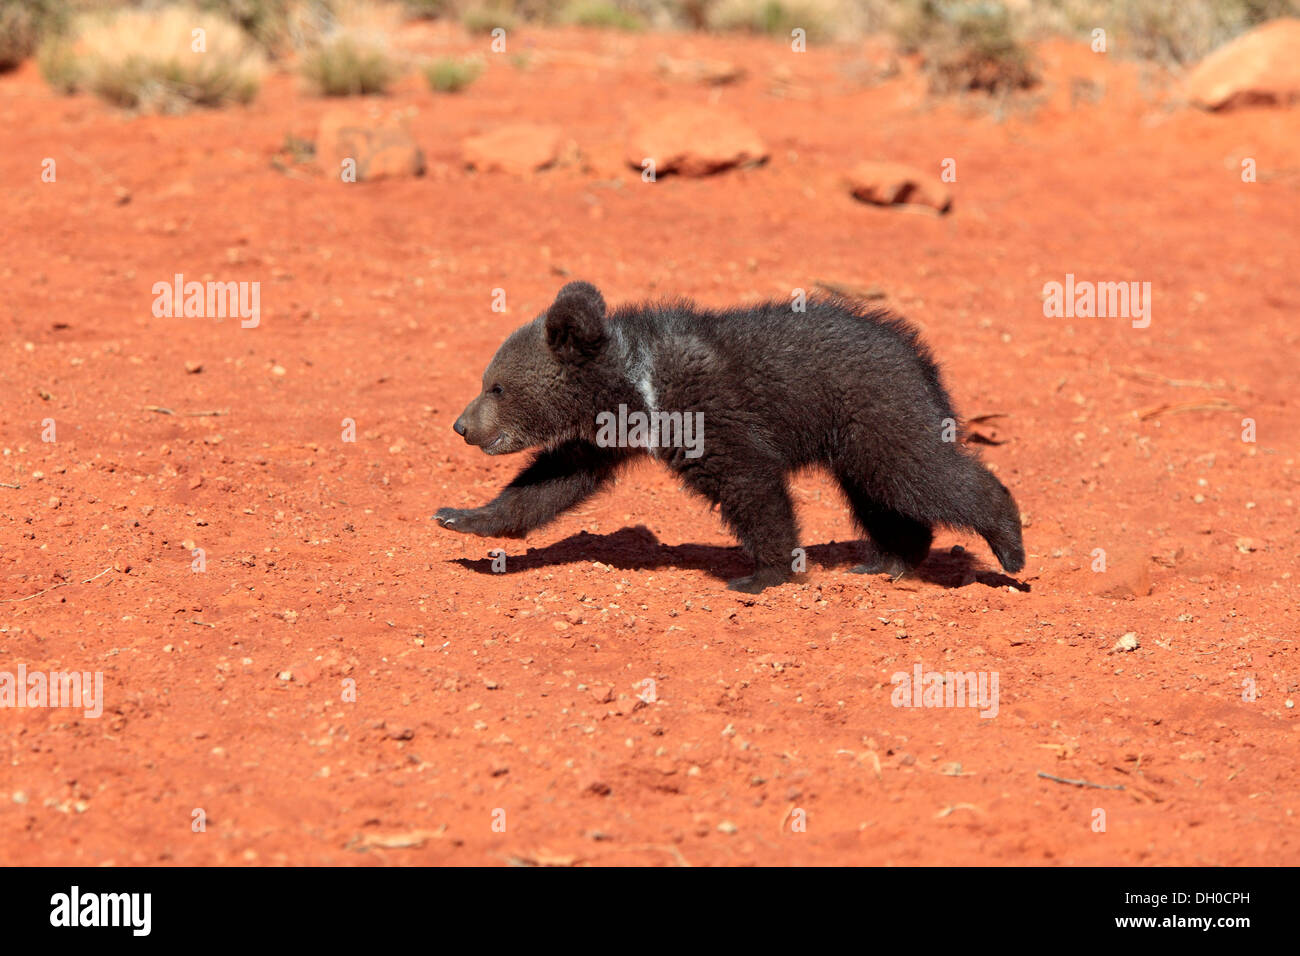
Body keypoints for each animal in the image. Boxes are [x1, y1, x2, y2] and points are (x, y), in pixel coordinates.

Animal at [434, 281, 1025, 593]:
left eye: (496, 386)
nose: (461, 426)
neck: (635, 386)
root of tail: (919, 355)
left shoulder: (706, 420)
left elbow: (752, 487)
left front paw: (764, 573)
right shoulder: (603, 441)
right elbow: (547, 485)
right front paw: (462, 518)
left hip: (880, 415)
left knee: (922, 474)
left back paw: (1008, 546)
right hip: (857, 443)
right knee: (881, 497)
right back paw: (890, 560)